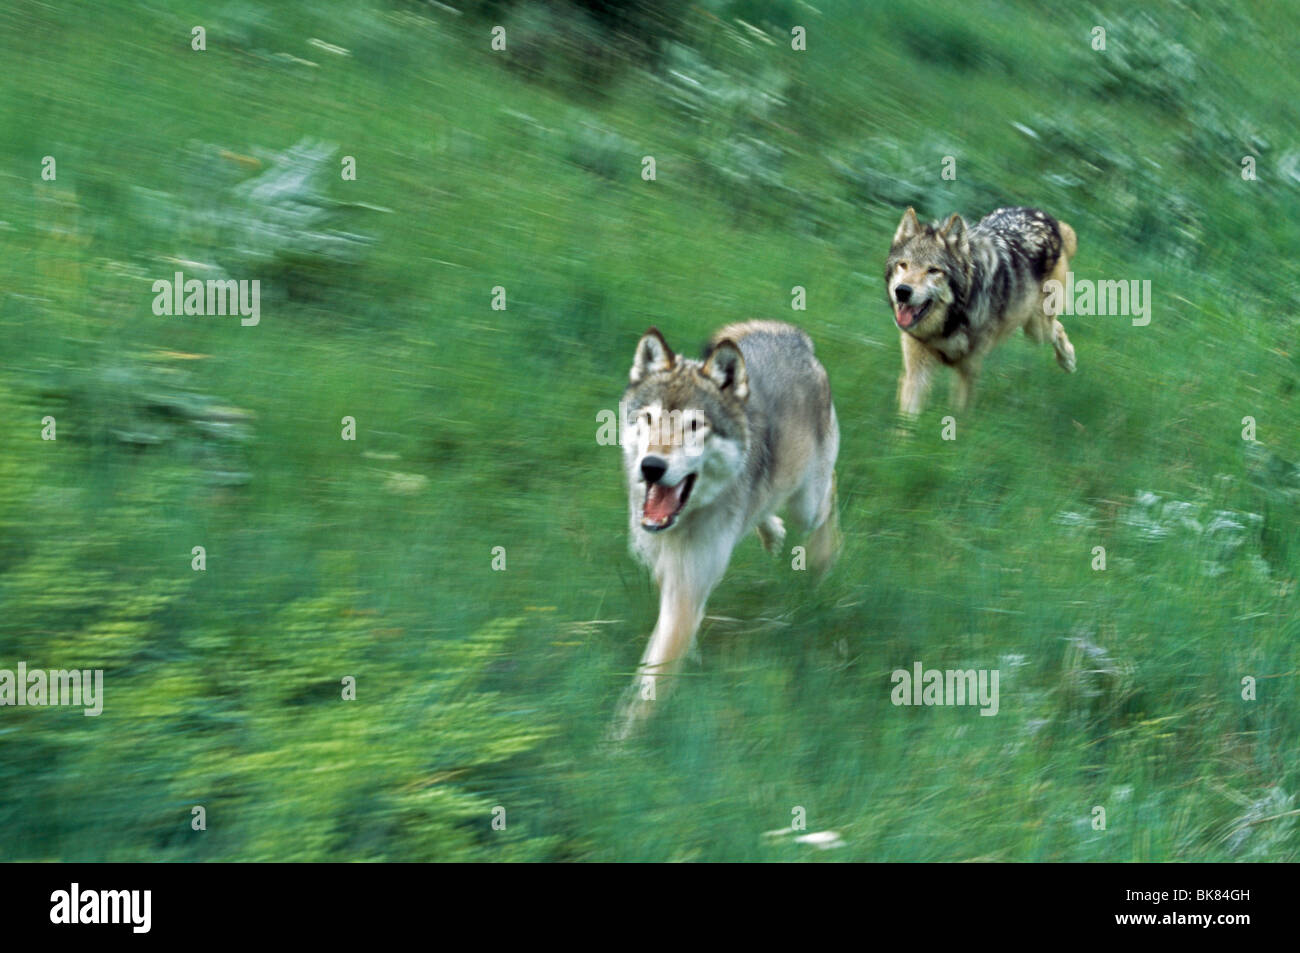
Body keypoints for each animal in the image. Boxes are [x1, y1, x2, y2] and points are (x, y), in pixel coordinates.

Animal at [612, 320, 840, 739]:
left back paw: (821, 562)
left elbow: (652, 681)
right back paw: (772, 534)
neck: (685, 519)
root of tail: (791, 334)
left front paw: (618, 745)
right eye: (649, 419)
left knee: (828, 492)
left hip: (807, 503)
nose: (650, 467)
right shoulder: (670, 572)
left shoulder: (687, 585)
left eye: (694, 425)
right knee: (766, 507)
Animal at [885, 206, 1078, 415]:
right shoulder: (916, 370)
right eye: (903, 265)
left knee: (1058, 328)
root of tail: (1046, 216)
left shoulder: (969, 368)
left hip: (1036, 328)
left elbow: (959, 414)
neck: (950, 322)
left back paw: (1068, 361)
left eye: (933, 270)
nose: (902, 291)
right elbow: (908, 417)